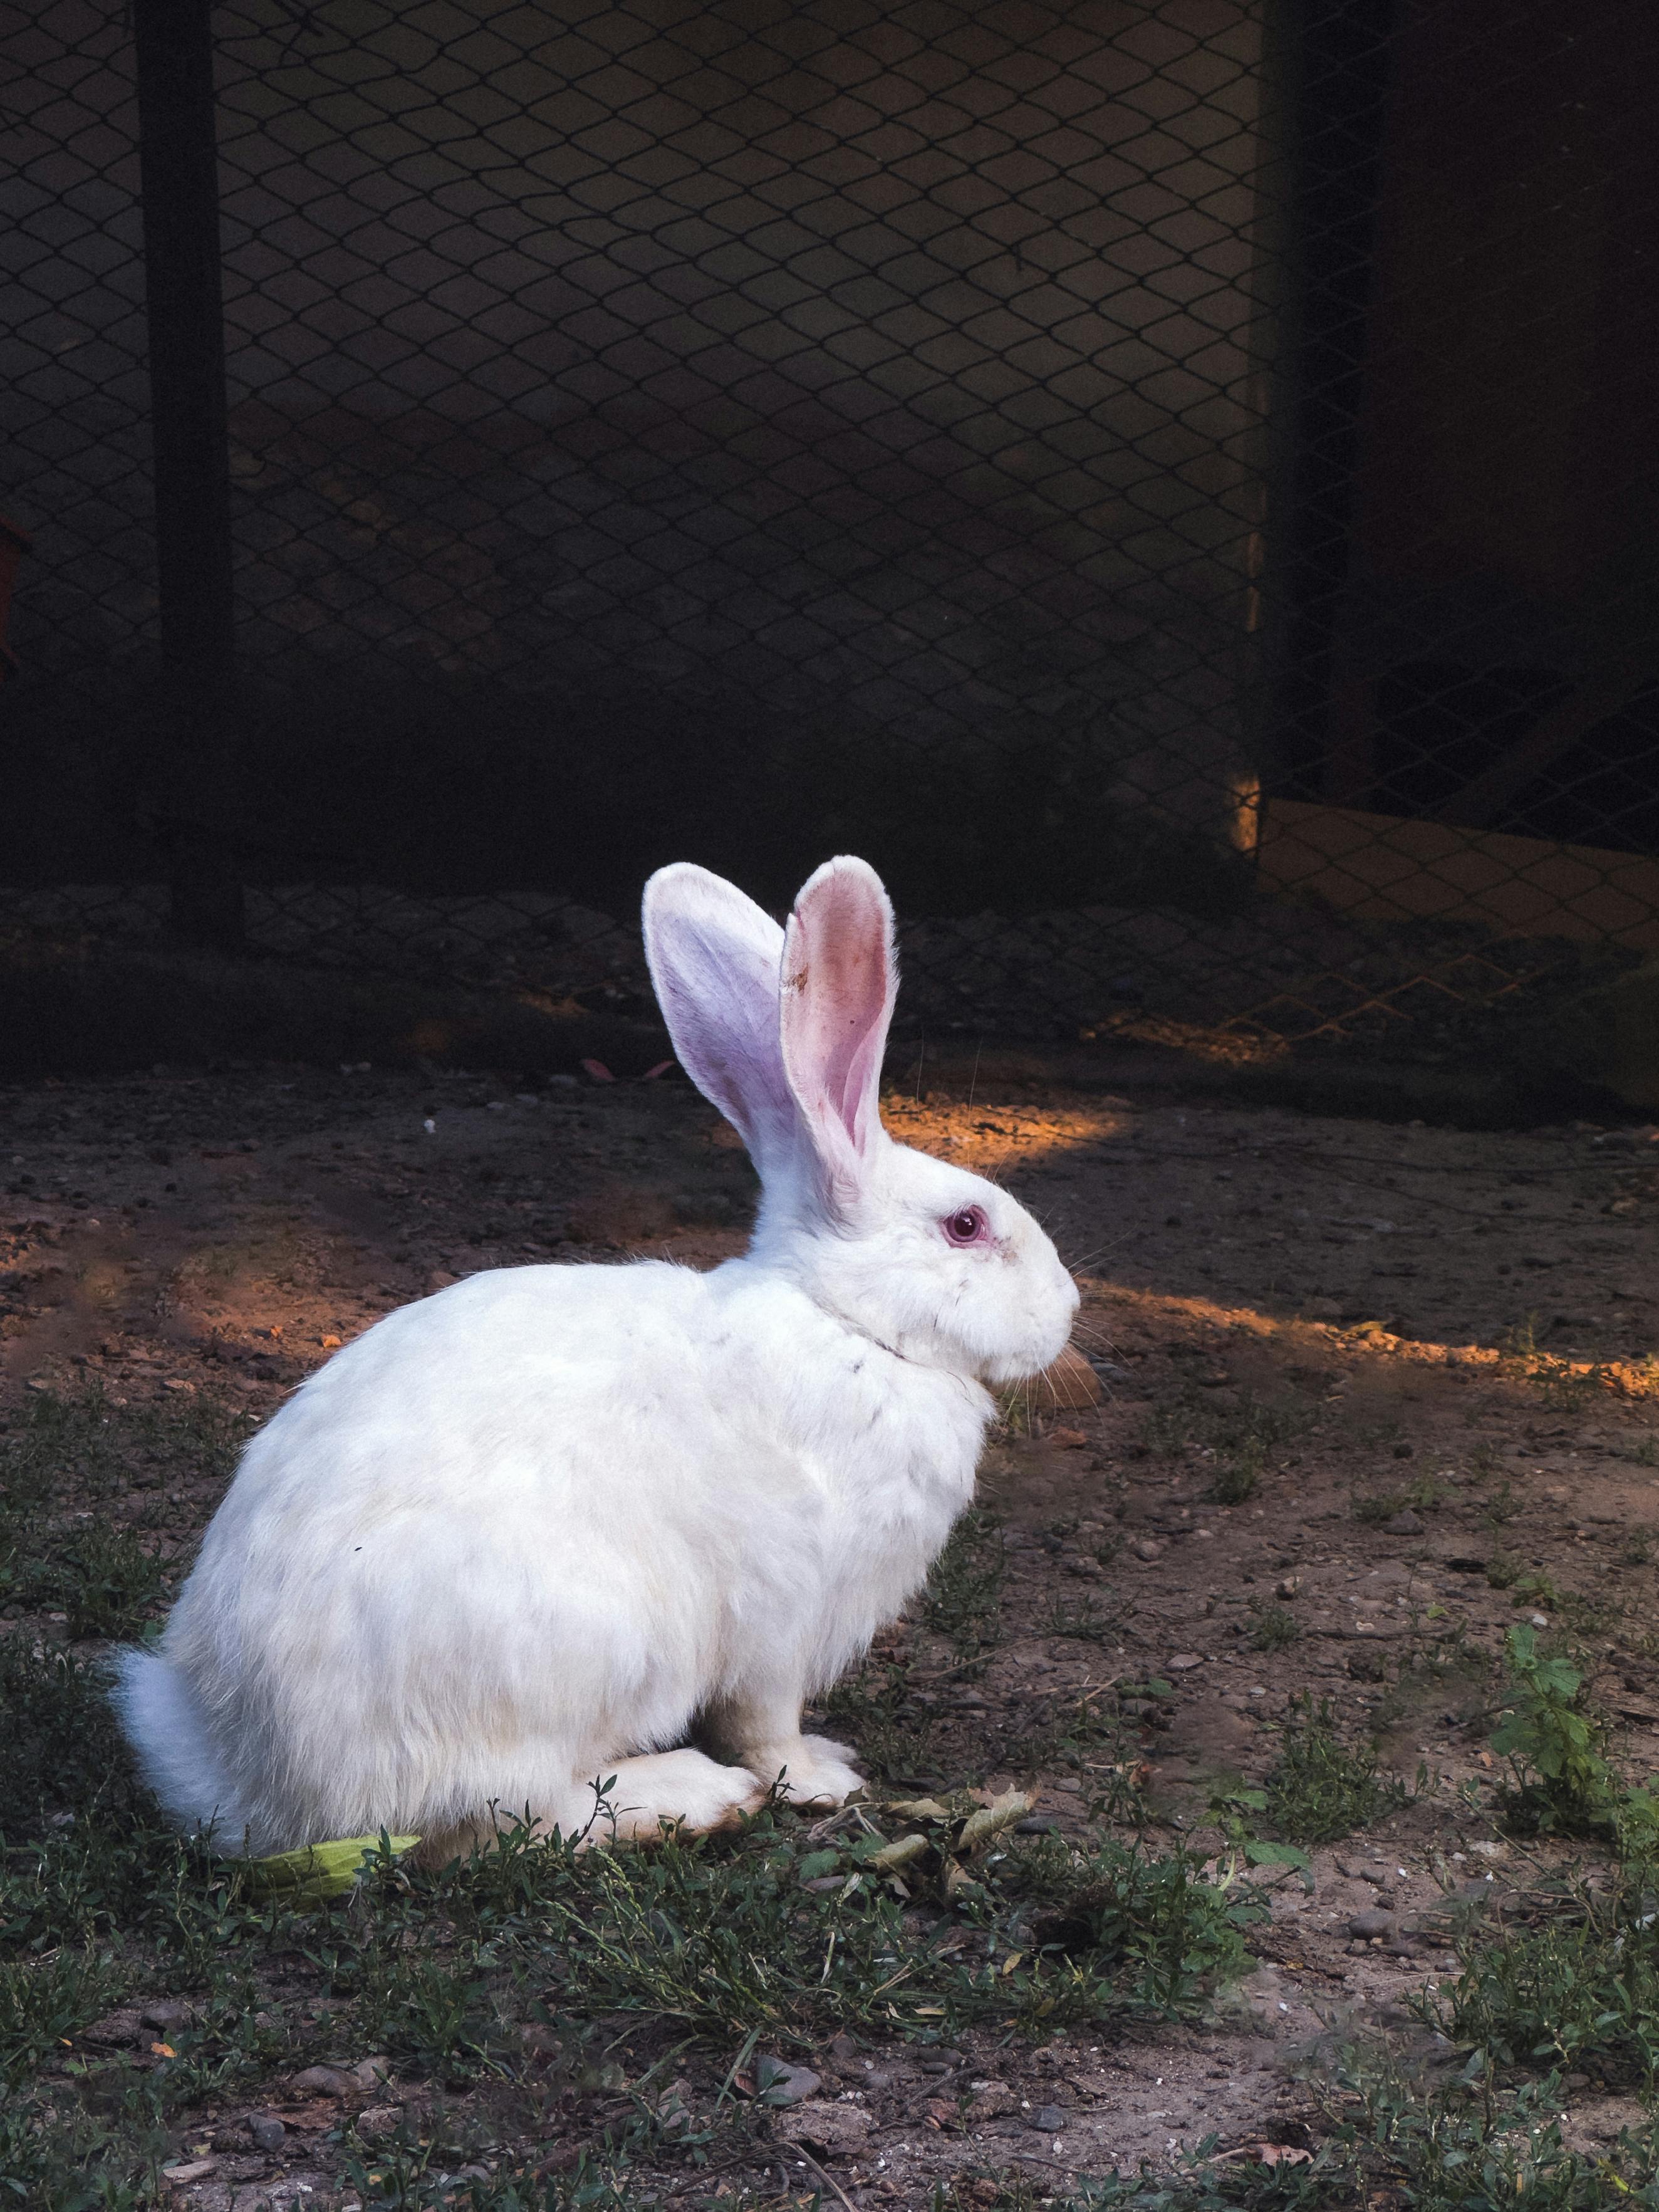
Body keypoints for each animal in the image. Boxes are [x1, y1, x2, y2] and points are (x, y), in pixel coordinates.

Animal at [115, 856, 1079, 1860]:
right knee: (510, 1818)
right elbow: (766, 1723)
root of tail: (252, 1781)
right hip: (576, 1654)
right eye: (965, 1225)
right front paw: (821, 1777)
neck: (844, 1322)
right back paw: (693, 1795)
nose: (1066, 1310)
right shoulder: (782, 1621)